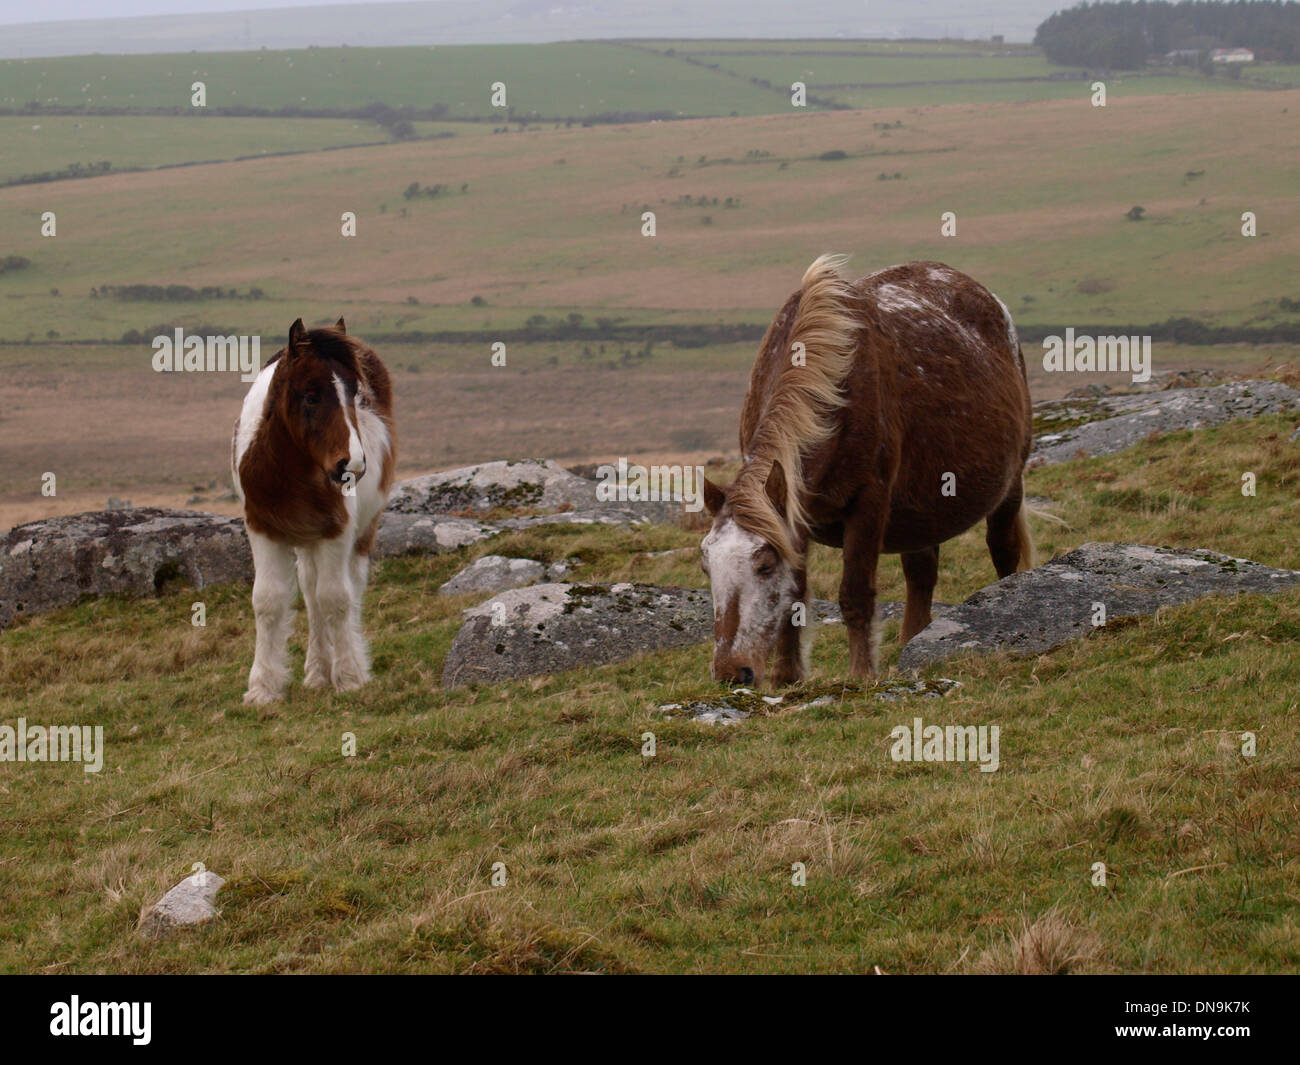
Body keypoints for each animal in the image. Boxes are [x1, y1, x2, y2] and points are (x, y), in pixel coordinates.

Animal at [231, 318, 396, 704]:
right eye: (310, 396)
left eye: (355, 395)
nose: (352, 465)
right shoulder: (262, 529)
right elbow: (268, 601)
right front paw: (262, 687)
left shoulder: (337, 531)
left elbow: (336, 599)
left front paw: (349, 676)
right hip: (306, 539)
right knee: (310, 590)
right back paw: (318, 672)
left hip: (359, 533)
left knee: (347, 589)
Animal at [701, 256, 1034, 687]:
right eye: (707, 566)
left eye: (764, 564)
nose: (731, 671)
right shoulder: (794, 514)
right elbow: (794, 598)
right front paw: (787, 676)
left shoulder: (868, 504)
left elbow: (854, 593)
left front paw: (860, 674)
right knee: (921, 574)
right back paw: (912, 641)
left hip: (1009, 487)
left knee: (1003, 551)